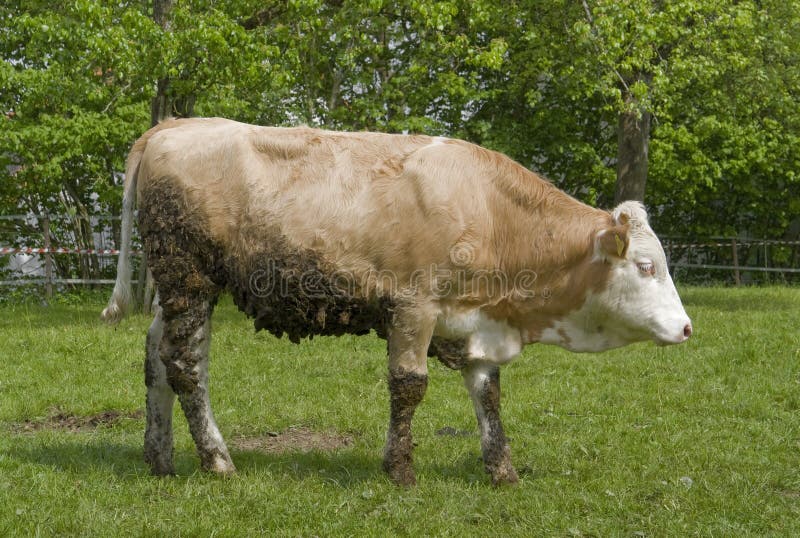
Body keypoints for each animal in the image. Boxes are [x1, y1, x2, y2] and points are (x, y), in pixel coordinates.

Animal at [102, 117, 691, 486]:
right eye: (646, 266)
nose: (687, 329)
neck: (491, 212)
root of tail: (172, 126)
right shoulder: (414, 307)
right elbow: (409, 387)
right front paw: (400, 470)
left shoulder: (473, 321)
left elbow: (488, 395)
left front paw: (502, 471)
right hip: (190, 278)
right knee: (186, 364)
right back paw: (216, 460)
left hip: (174, 288)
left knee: (158, 358)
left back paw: (160, 458)